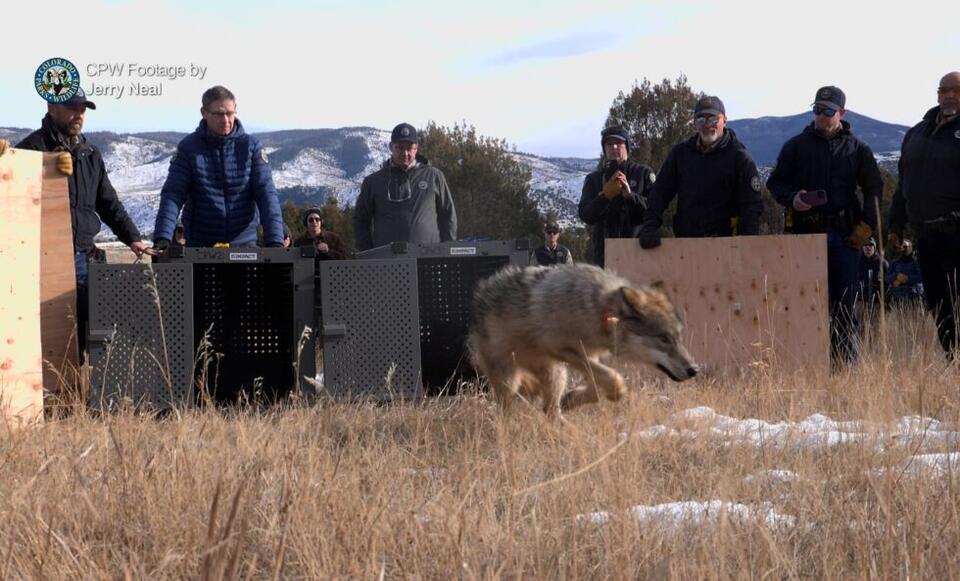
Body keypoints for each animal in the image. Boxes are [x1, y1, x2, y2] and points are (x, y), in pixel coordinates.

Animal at [468, 263, 698, 417]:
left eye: (678, 337)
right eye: (664, 338)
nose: (694, 370)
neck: (599, 310)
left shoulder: (589, 356)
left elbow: (598, 385)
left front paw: (572, 399)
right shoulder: (566, 351)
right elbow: (613, 378)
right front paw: (615, 393)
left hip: (557, 375)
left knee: (549, 410)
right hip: (510, 380)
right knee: (507, 409)